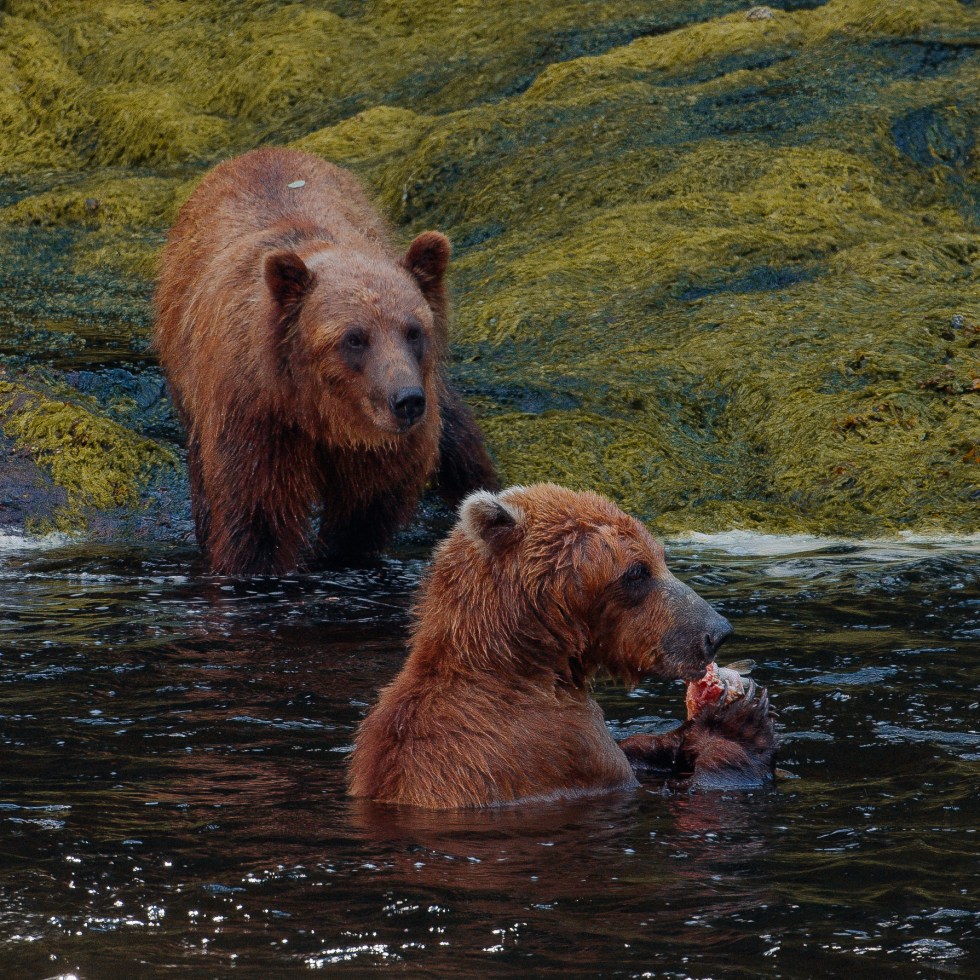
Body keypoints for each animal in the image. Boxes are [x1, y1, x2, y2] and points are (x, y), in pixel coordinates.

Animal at [154, 147, 498, 575]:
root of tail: (261, 152)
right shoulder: (256, 417)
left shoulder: (382, 447)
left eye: (414, 330)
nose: (406, 401)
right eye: (354, 338)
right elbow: (257, 515)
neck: (321, 413)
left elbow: (363, 512)